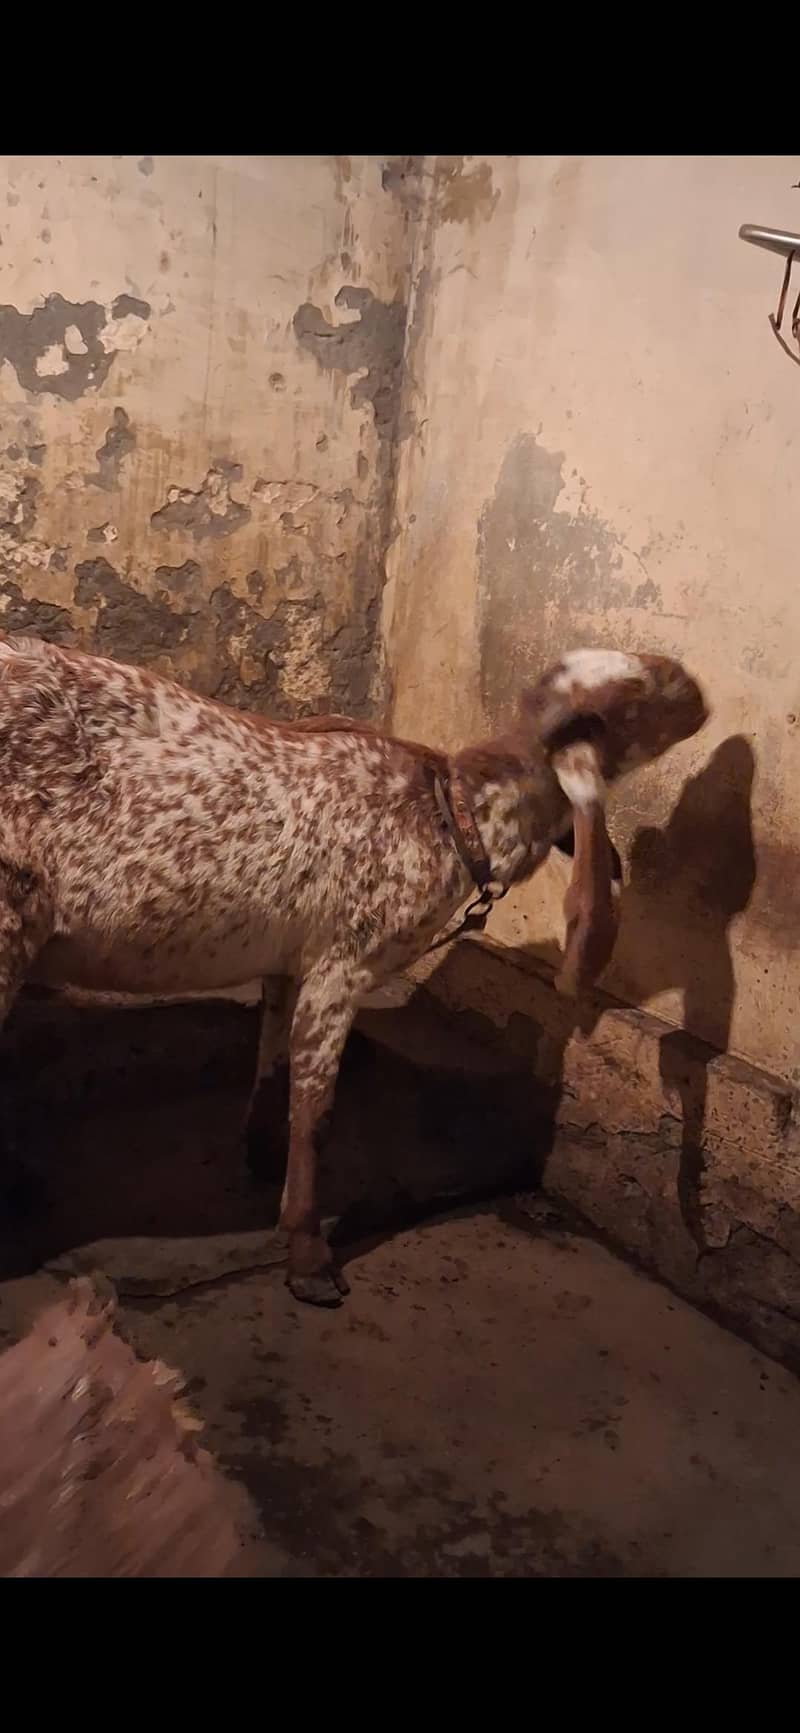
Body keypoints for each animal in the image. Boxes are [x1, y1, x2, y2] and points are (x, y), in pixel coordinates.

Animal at [0, 635, 707, 1305]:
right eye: (633, 697)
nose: (697, 688)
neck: (452, 820)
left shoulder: (291, 962)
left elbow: (274, 1059)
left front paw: (260, 1152)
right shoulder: (342, 967)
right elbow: (318, 1114)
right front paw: (308, 1253)